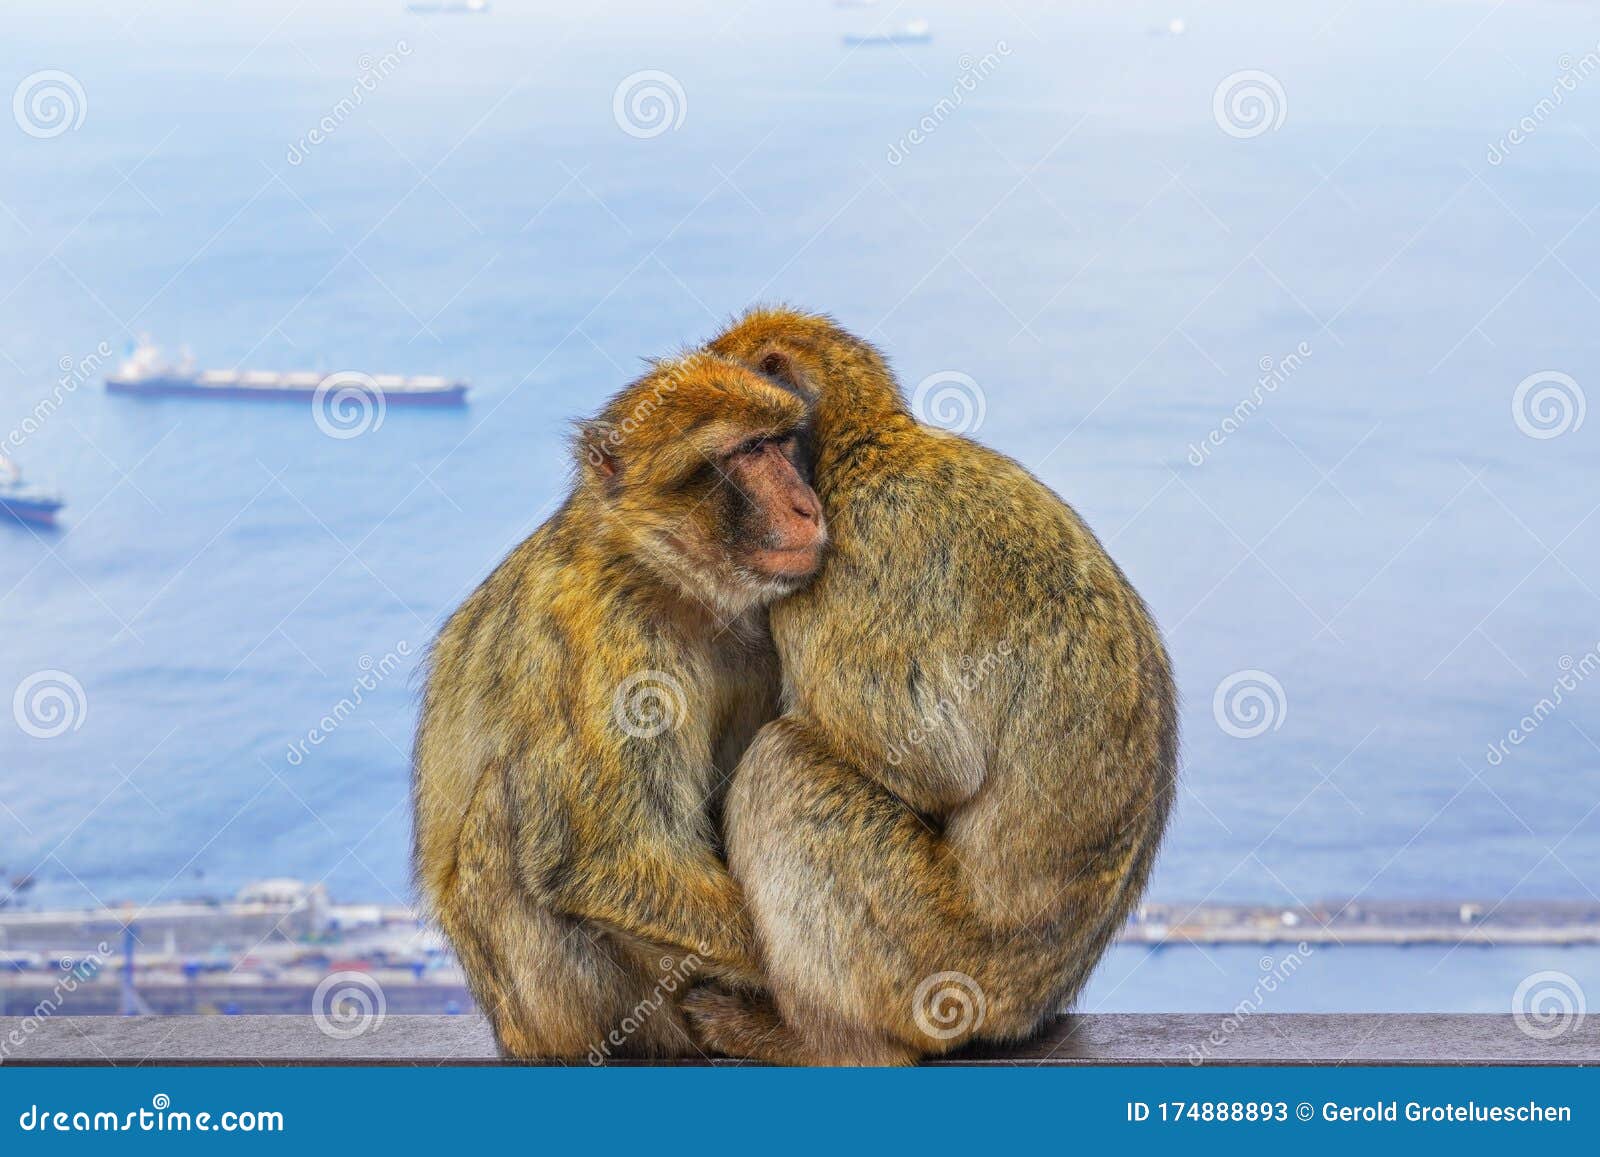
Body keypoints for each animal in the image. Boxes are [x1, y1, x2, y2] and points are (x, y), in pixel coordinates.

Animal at [411, 350, 826, 1060]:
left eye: (780, 444)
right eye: (748, 451)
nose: (807, 506)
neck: (665, 574)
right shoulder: (609, 641)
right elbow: (607, 856)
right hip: (552, 1007)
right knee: (509, 806)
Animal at [680, 307, 1179, 1065]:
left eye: (753, 449)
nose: (787, 510)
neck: (858, 452)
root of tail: (1019, 1007)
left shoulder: (843, 567)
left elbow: (935, 766)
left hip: (925, 958)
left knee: (784, 767)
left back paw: (809, 1038)